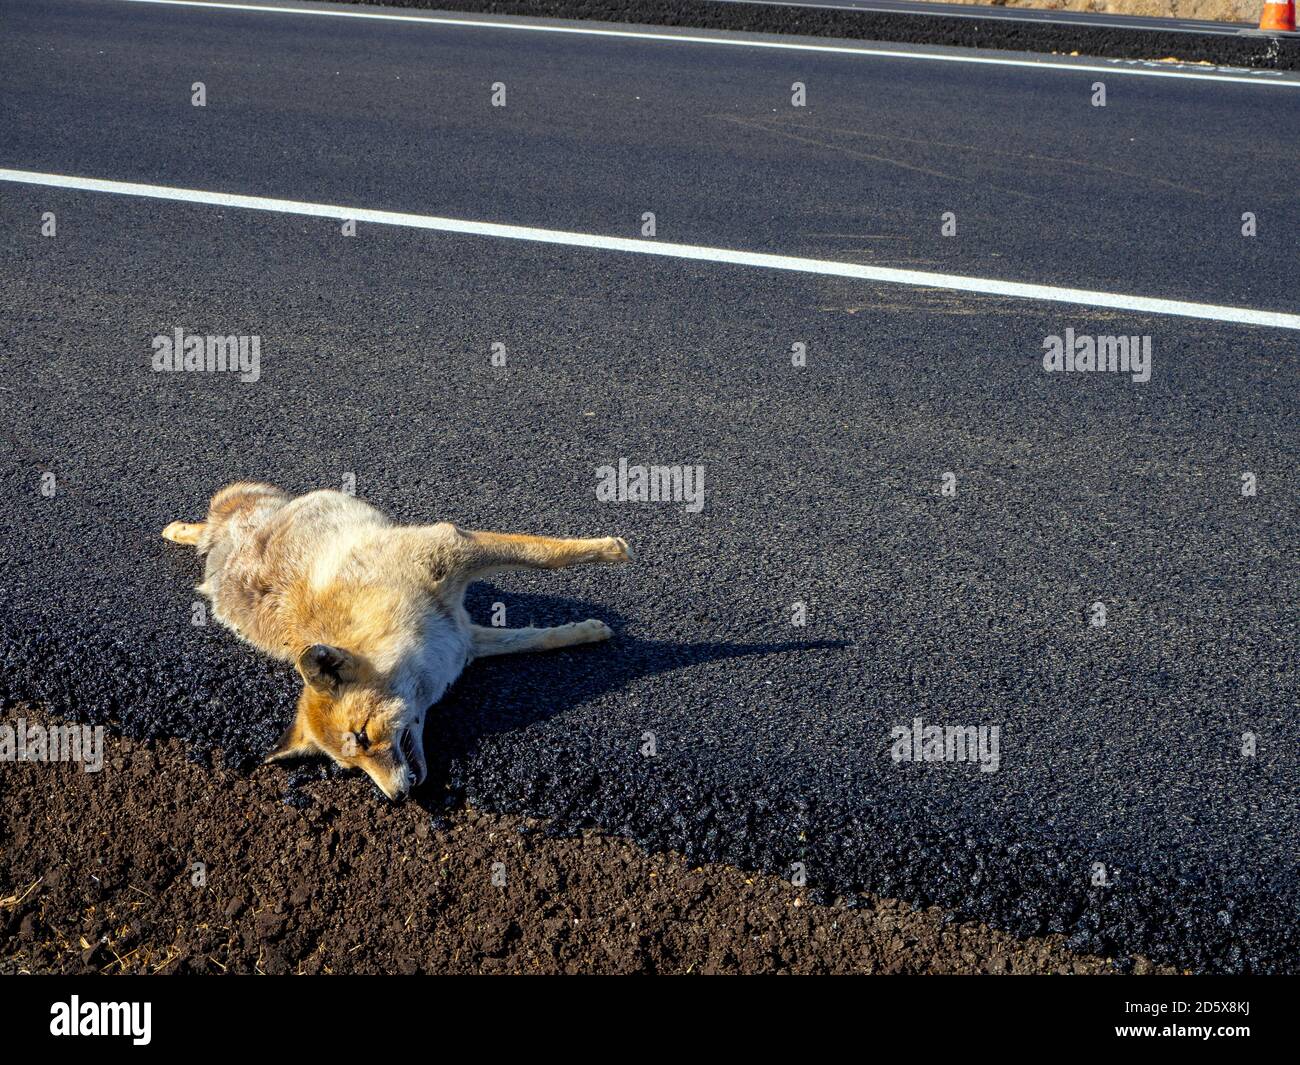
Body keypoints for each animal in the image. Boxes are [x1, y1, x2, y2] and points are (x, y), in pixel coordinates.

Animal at [162, 483, 631, 800]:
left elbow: (547, 556)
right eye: (351, 766)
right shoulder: (466, 641)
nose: (396, 797)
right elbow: (538, 638)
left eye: (364, 736)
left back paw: (183, 528)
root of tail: (222, 536)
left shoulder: (452, 564)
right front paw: (590, 630)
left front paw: (608, 552)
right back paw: (181, 530)